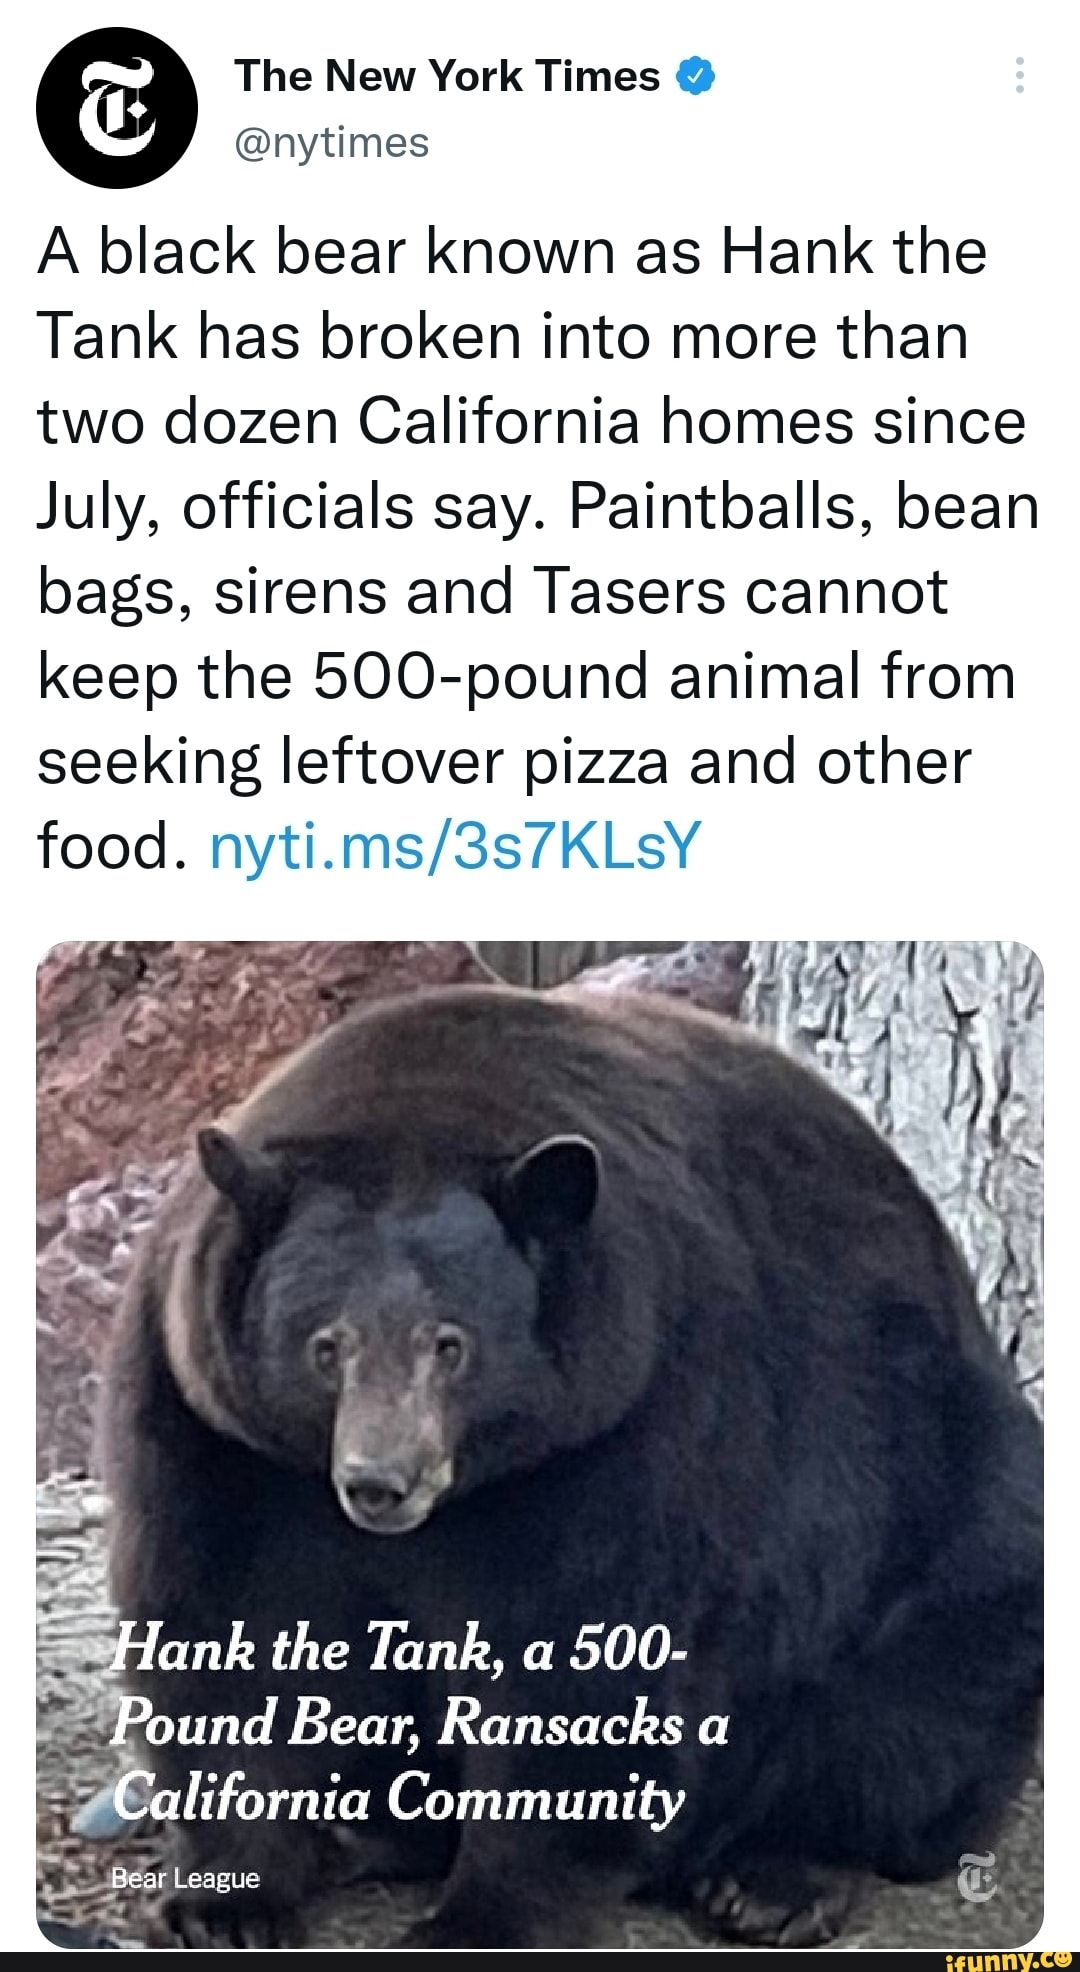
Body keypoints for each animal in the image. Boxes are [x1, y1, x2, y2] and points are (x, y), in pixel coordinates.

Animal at [103, 983, 1043, 1949]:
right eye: (327, 1345)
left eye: (451, 1344)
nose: (380, 1482)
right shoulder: (219, 1430)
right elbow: (230, 1620)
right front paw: (224, 1903)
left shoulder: (634, 1416)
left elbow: (581, 1651)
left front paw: (478, 1921)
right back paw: (360, 1833)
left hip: (942, 1506)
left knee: (915, 1700)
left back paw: (774, 1878)